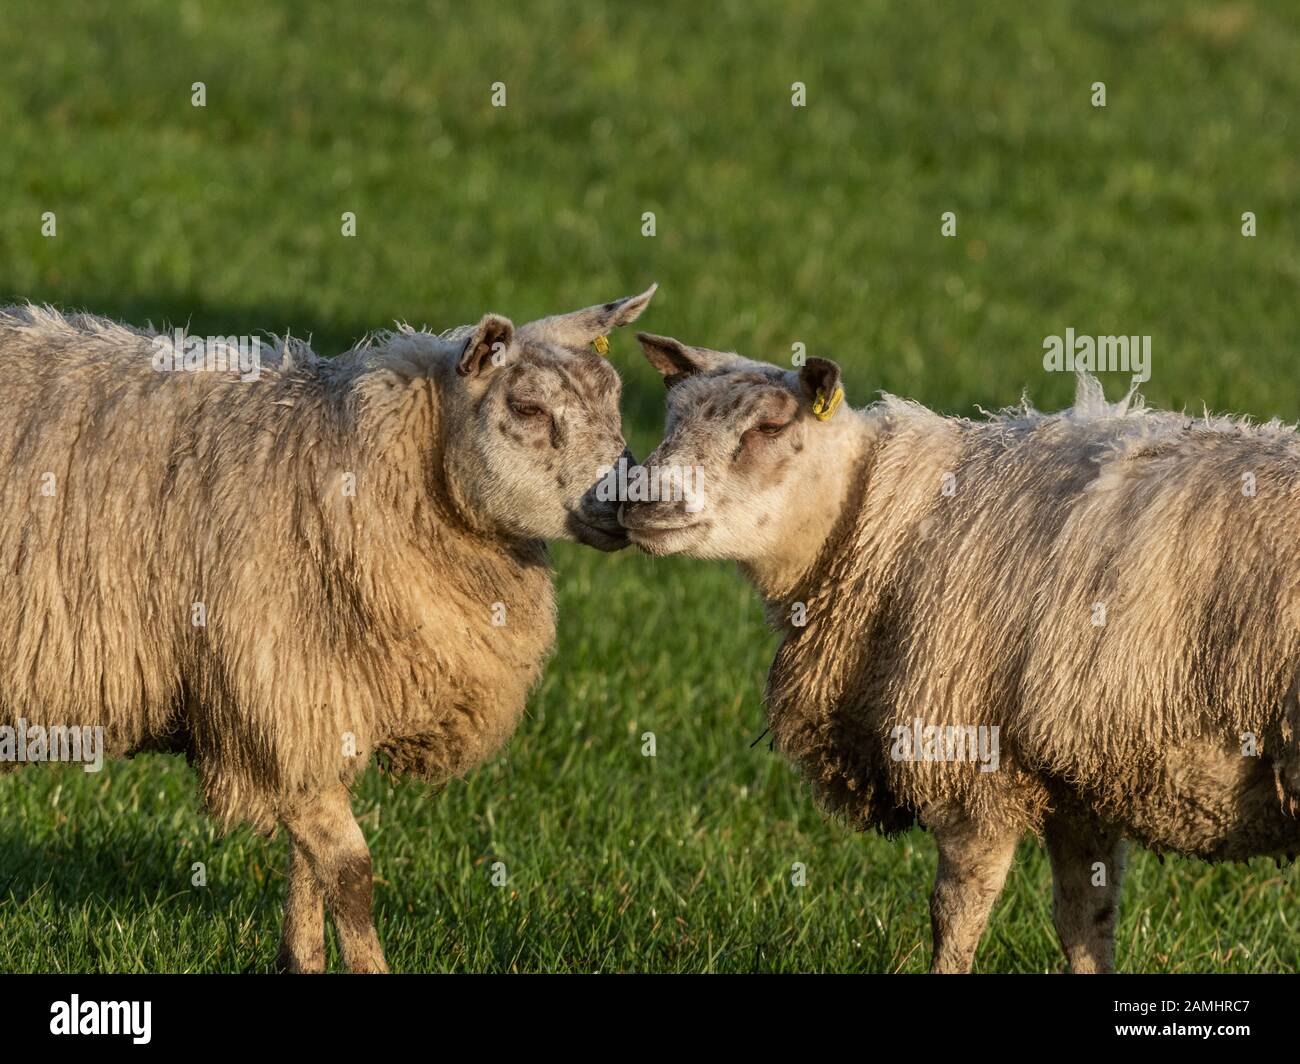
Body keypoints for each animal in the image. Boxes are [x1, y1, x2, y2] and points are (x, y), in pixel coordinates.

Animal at [0, 285, 656, 973]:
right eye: (527, 408)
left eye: (614, 396)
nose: (635, 495)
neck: (349, 458)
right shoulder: (280, 695)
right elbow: (349, 872)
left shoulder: (313, 710)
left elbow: (307, 867)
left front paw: (301, 959)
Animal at [621, 332, 1300, 973]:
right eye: (672, 419)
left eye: (768, 427)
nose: (642, 500)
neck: (876, 522)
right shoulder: (1078, 779)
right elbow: (1085, 922)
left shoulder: (972, 761)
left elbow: (957, 914)